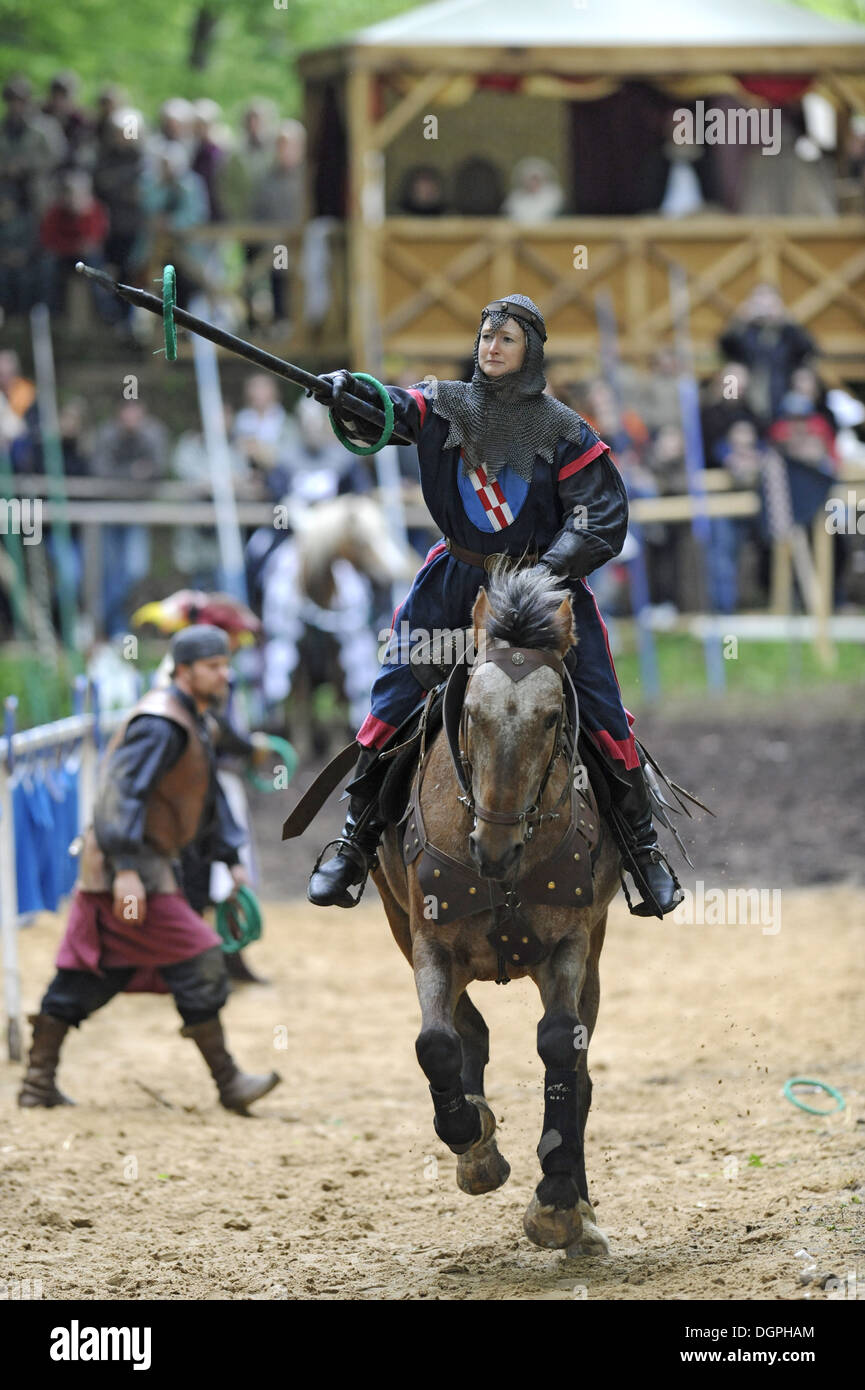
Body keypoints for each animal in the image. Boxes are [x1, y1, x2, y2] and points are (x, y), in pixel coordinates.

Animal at [372, 562, 621, 1256]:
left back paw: (580, 1215)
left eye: (553, 716)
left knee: (578, 1069)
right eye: (473, 714)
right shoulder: (427, 940)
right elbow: (437, 1043)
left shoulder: (571, 944)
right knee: (466, 1031)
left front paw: (558, 1202)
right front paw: (475, 1146)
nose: (496, 846)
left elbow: (561, 1048)